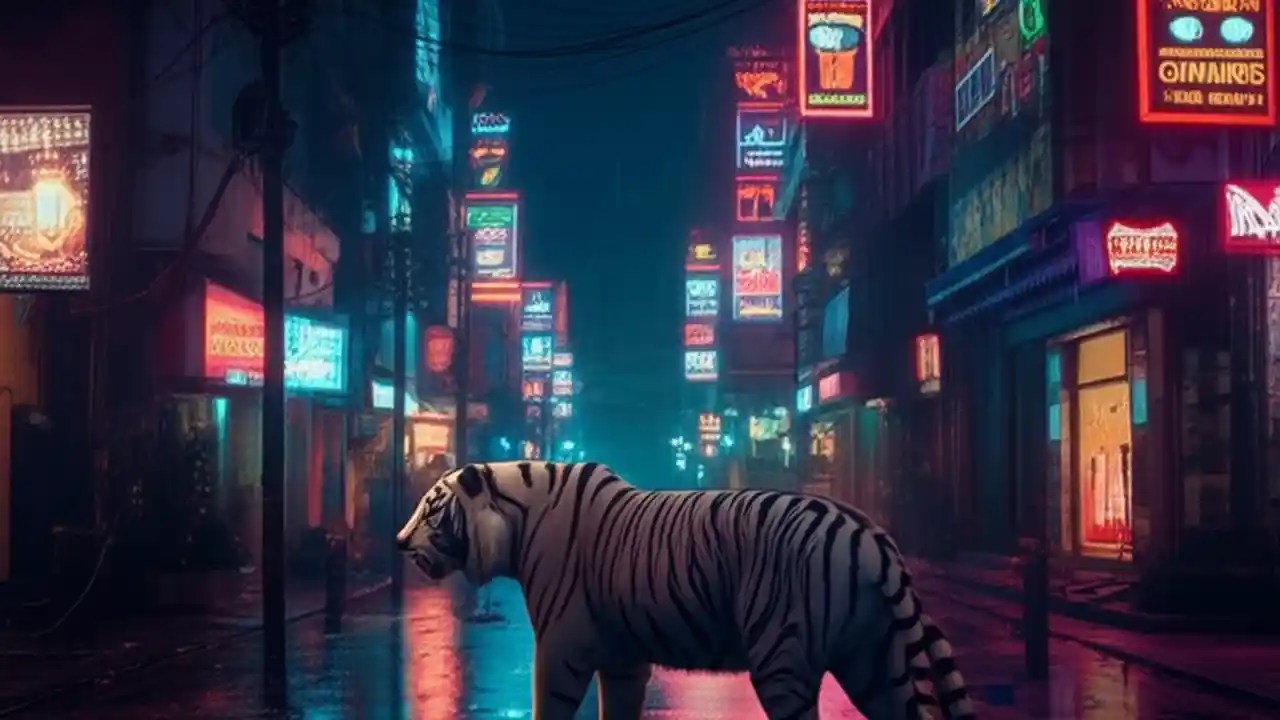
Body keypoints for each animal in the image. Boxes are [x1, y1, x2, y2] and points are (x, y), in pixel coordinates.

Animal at [396, 461, 977, 720]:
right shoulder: (623, 655)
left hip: (784, 661)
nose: (399, 542)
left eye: (430, 507)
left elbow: (552, 705)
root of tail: (874, 537)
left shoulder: (563, 645)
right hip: (878, 664)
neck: (518, 520)